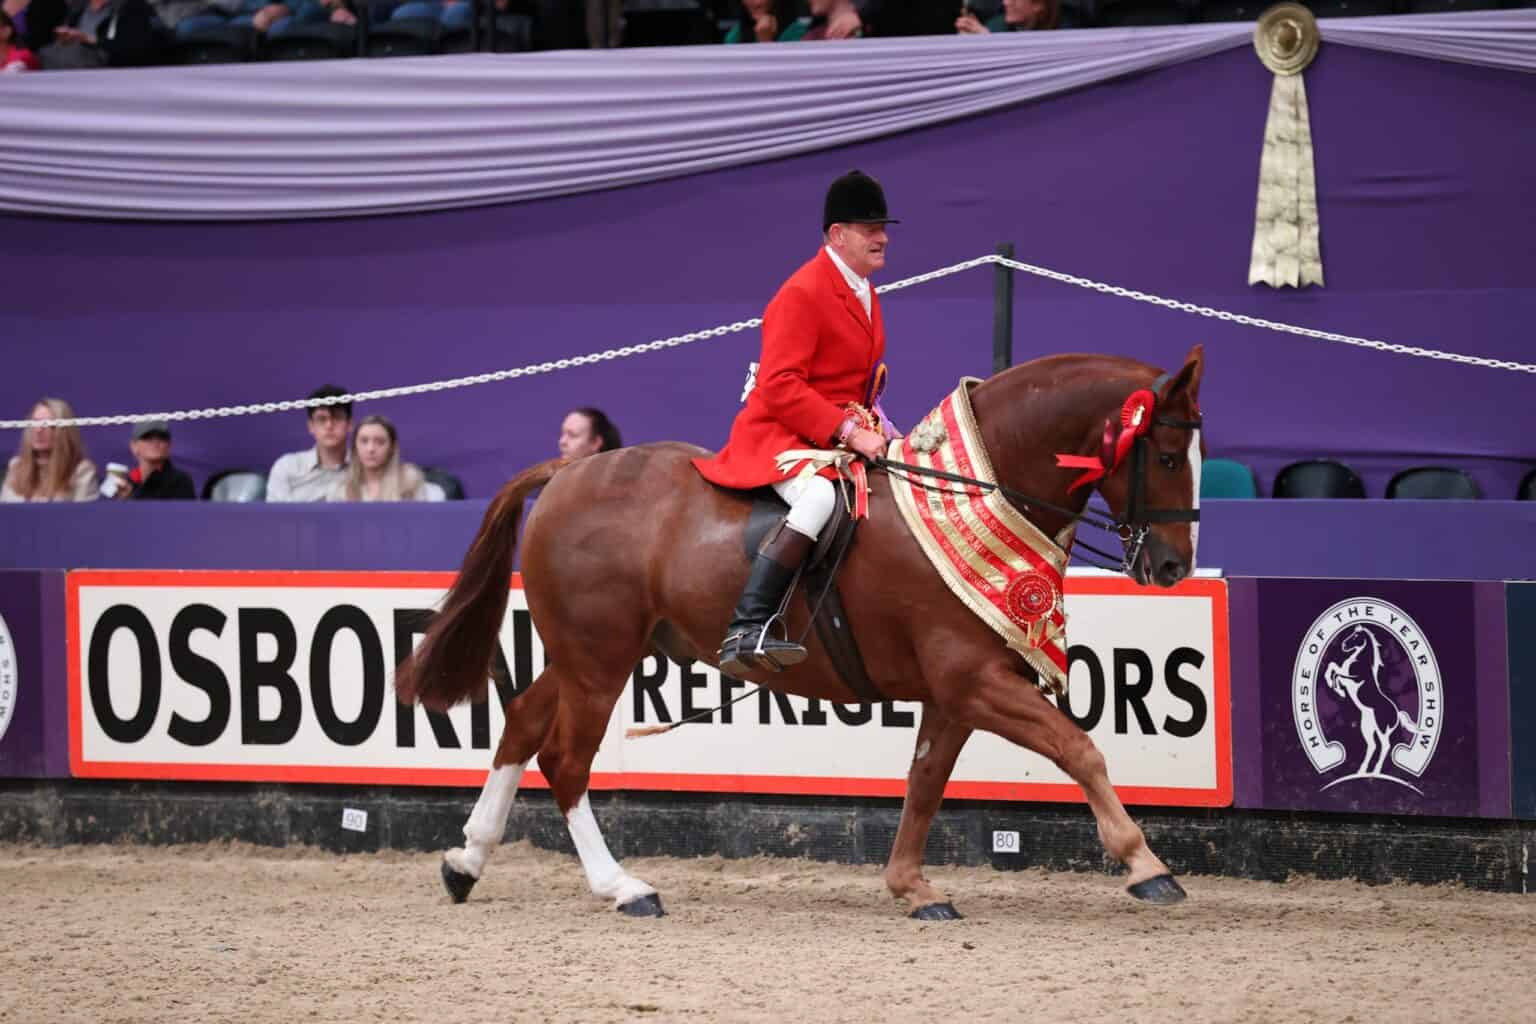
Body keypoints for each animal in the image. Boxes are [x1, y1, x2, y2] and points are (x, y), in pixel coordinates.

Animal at [395, 344, 1206, 919]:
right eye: (1167, 456)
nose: (1172, 565)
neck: (976, 493)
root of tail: (567, 473)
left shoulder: (956, 692)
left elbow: (925, 781)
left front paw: (912, 887)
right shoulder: (974, 682)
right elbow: (1079, 749)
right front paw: (1146, 865)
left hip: (590, 651)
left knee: (522, 722)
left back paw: (466, 862)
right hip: (600, 658)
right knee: (565, 761)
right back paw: (624, 887)